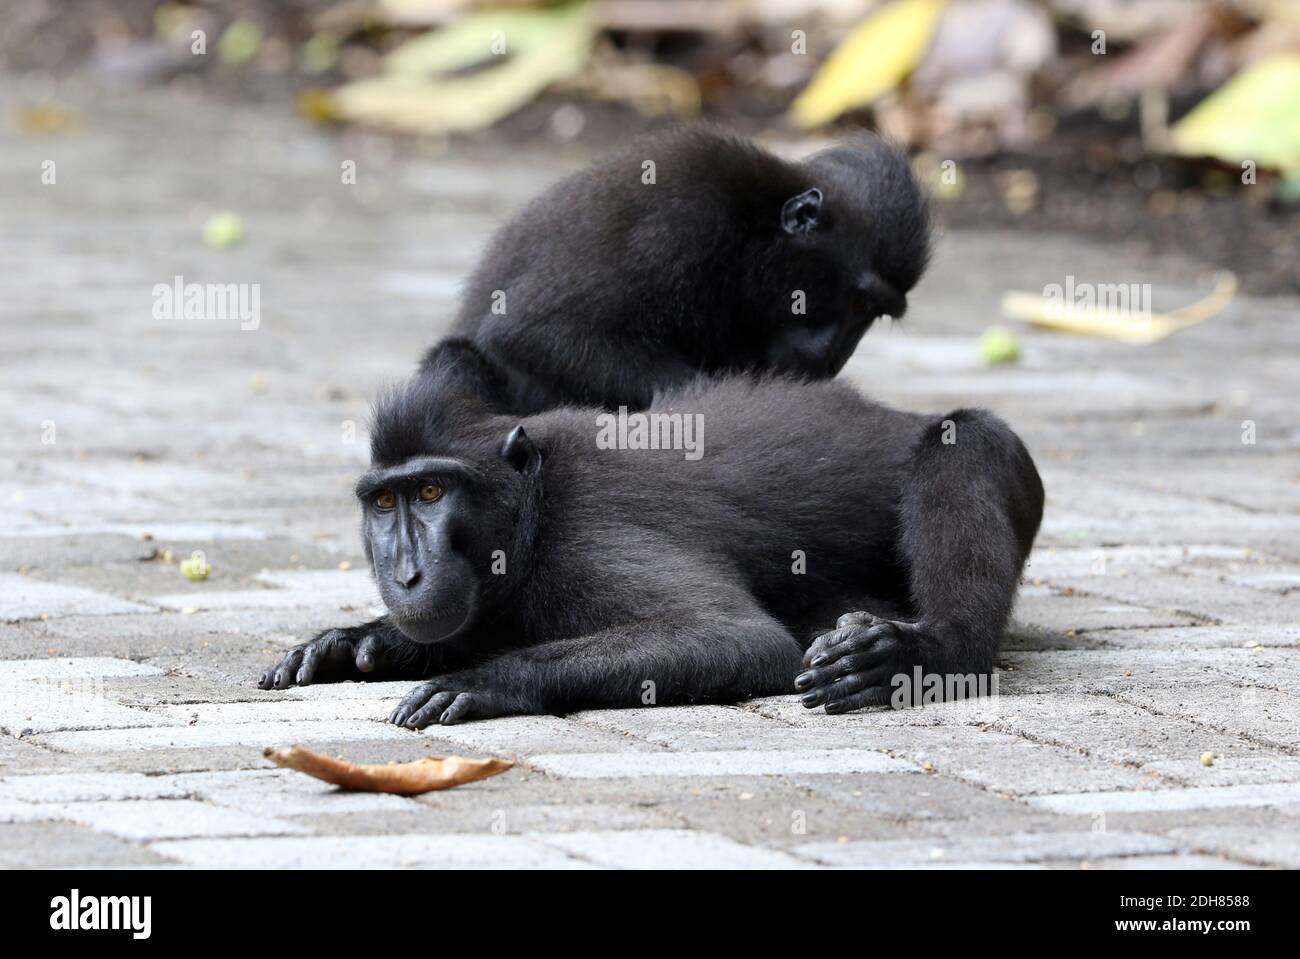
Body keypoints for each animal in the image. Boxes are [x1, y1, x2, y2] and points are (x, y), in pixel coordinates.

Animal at [258, 341, 1044, 726]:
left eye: (430, 492)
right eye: (382, 504)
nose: (407, 573)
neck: (535, 503)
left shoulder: (589, 539)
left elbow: (736, 638)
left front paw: (483, 681)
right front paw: (355, 642)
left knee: (962, 442)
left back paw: (930, 650)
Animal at [427, 126, 931, 413]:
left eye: (875, 313)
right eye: (858, 303)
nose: (833, 361)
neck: (752, 231)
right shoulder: (683, 225)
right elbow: (533, 331)